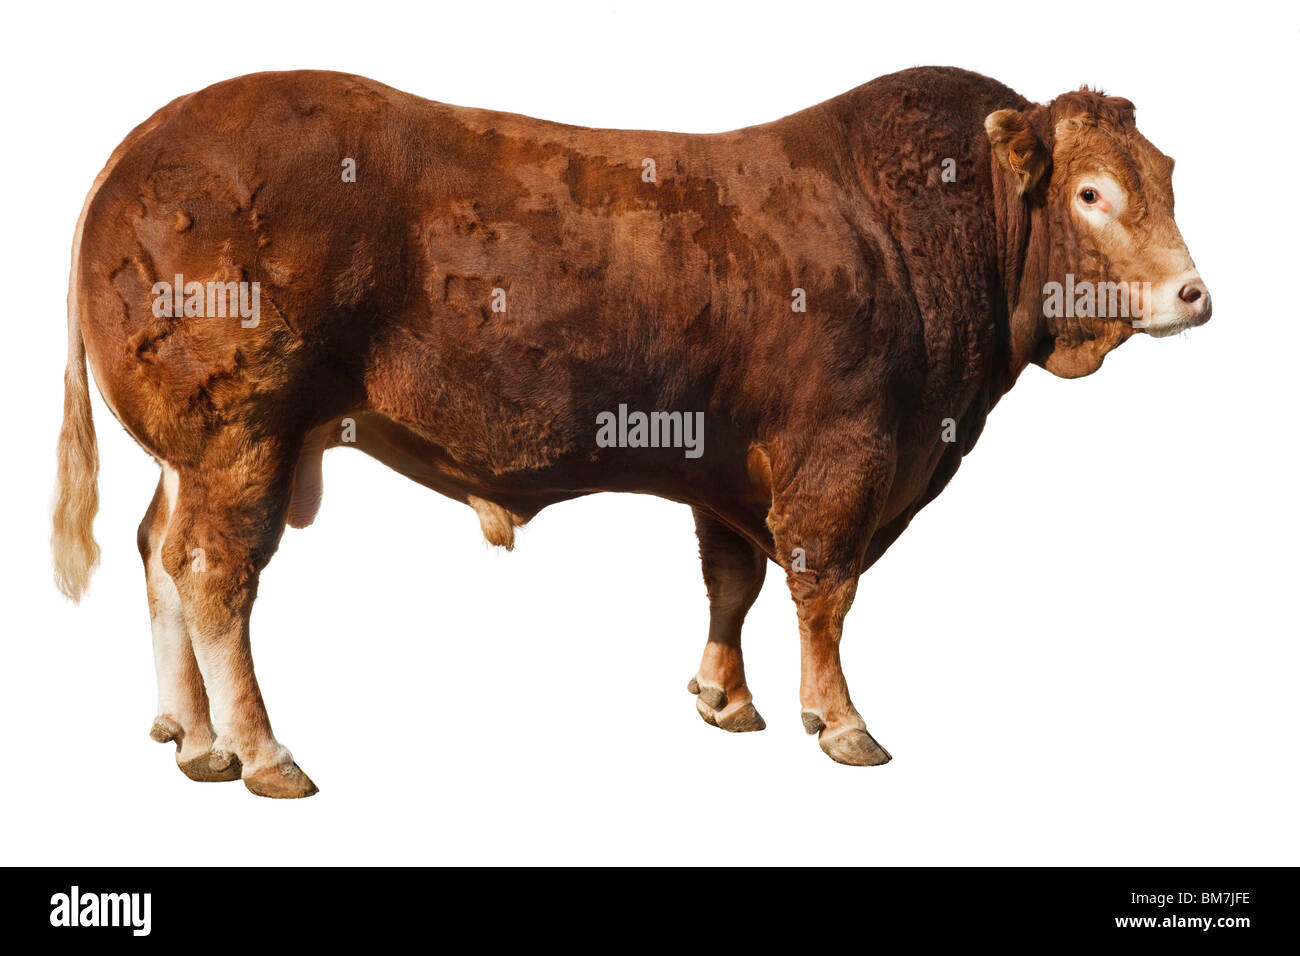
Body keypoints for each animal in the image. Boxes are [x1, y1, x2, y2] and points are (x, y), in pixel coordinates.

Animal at [53, 67, 1211, 797]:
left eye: (1163, 175)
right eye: (1093, 192)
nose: (1195, 292)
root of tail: (140, 145)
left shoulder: (728, 465)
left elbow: (733, 582)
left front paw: (724, 696)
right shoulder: (841, 456)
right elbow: (823, 591)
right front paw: (839, 722)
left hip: (197, 452)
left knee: (161, 554)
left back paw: (192, 739)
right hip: (241, 433)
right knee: (216, 575)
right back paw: (259, 753)